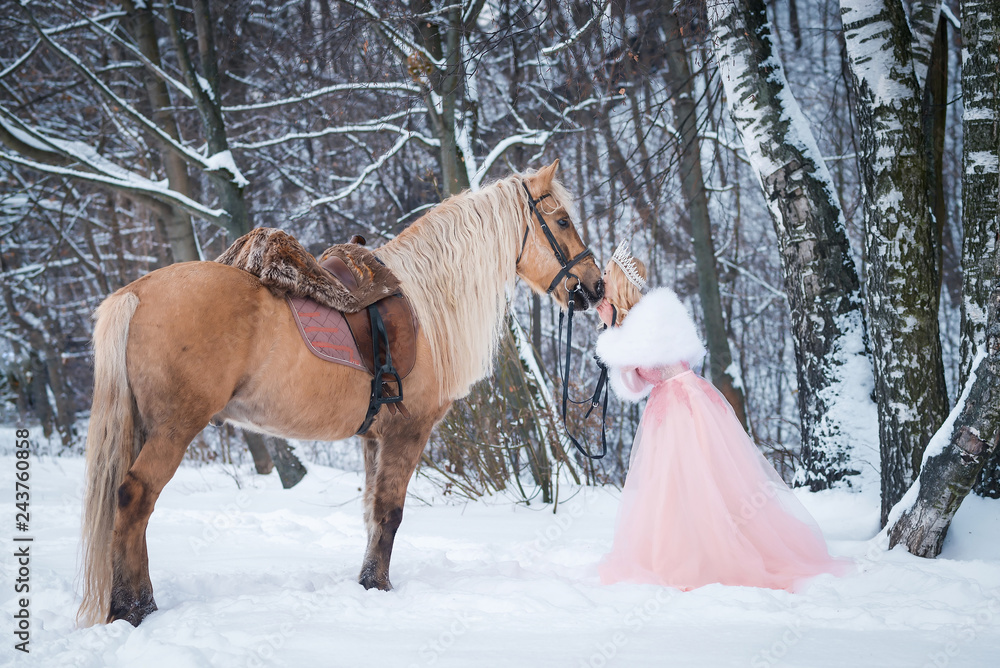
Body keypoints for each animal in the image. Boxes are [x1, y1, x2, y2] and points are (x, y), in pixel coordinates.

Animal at [77, 160, 604, 626]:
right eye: (562, 220)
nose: (595, 287)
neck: (426, 302)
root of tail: (137, 292)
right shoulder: (407, 434)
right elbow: (390, 512)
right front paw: (379, 587)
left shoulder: (374, 438)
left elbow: (372, 512)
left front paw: (368, 584)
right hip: (174, 428)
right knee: (134, 498)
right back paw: (134, 609)